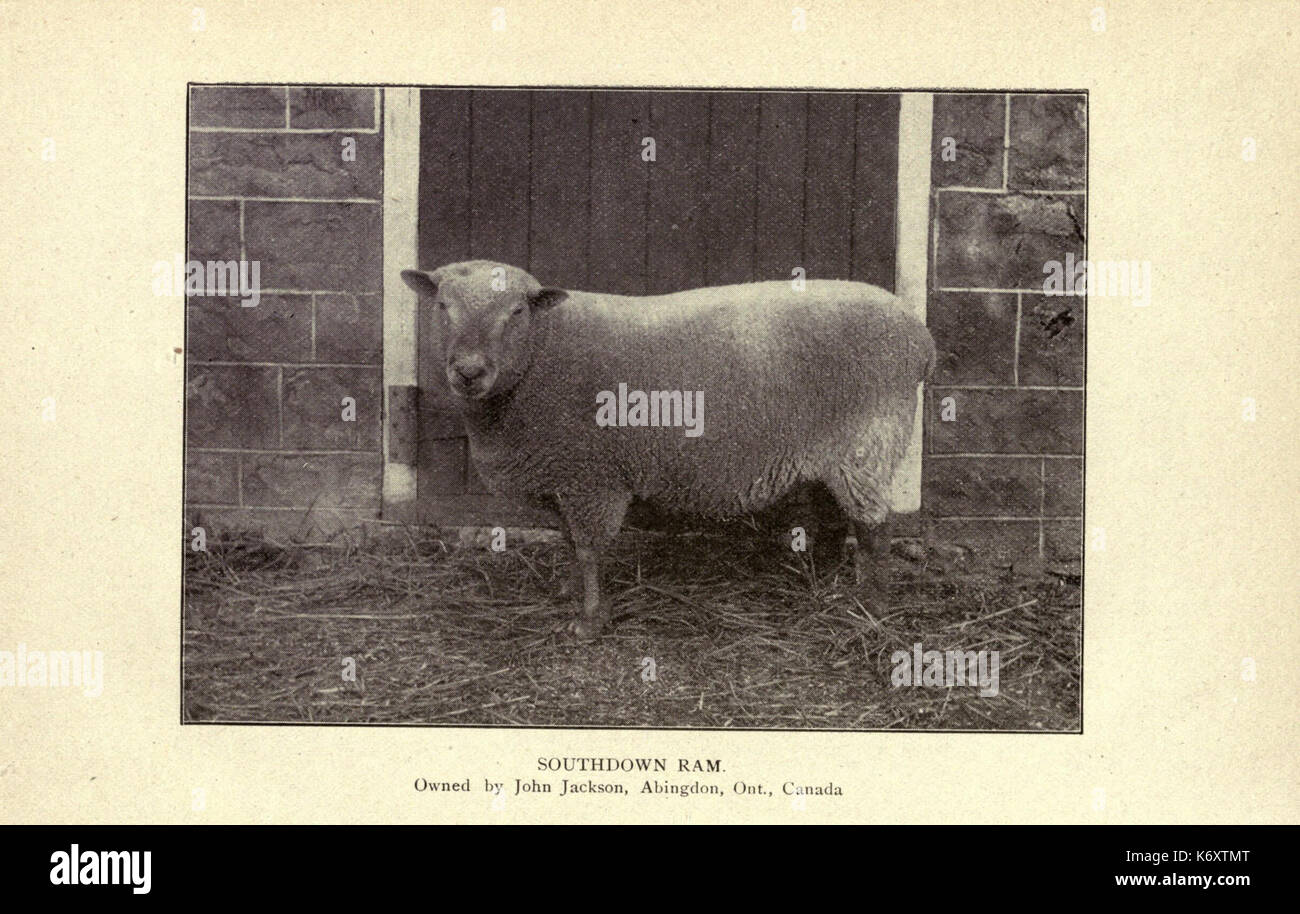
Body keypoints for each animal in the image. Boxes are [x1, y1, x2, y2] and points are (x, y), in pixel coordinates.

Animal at [402, 260, 936, 639]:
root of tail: (920, 337)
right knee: (836, 515)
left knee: (874, 527)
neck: (542, 351)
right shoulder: (565, 473)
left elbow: (589, 548)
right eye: (443, 306)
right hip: (834, 452)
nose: (468, 371)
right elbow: (571, 542)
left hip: (867, 442)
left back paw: (871, 607)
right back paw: (828, 585)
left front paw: (590, 621)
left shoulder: (590, 476)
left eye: (516, 312)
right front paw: (569, 592)